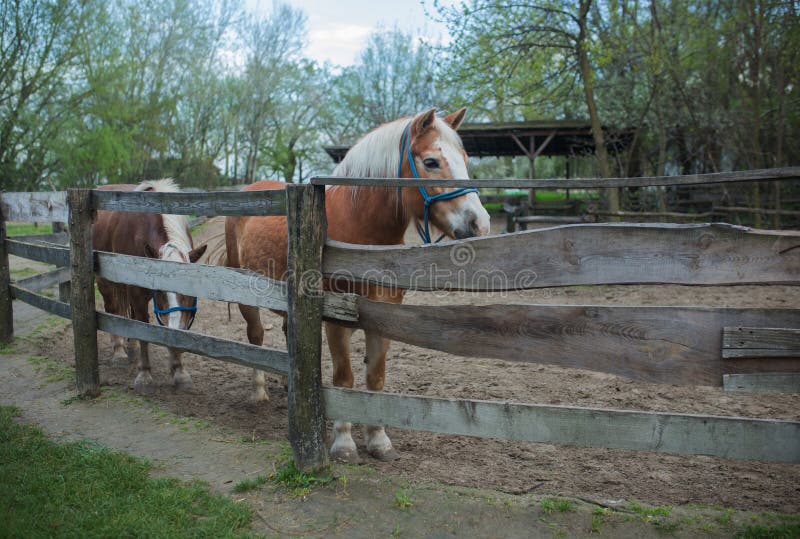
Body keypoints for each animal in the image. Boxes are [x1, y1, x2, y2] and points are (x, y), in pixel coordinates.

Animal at [93, 179, 207, 394]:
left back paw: (130, 348)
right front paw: (145, 376)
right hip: (106, 283)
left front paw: (179, 371)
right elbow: (143, 331)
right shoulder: (137, 295)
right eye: (161, 290)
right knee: (113, 309)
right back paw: (119, 352)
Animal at [224, 108, 490, 462]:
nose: (479, 223)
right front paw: (344, 443)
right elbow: (344, 379)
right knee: (255, 337)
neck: (360, 234)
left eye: (465, 159)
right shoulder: (336, 323)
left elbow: (375, 378)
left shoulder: (383, 319)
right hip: (245, 296)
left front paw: (378, 439)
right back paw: (259, 391)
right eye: (432, 162)